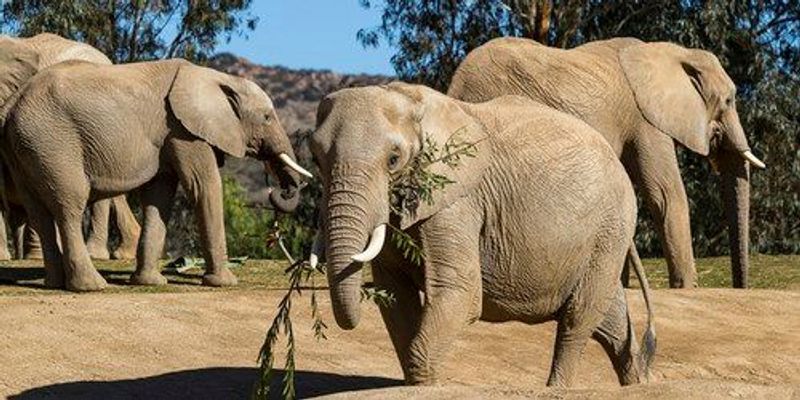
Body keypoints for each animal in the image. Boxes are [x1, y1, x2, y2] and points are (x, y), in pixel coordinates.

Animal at [309, 82, 655, 387]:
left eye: (394, 159)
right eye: (316, 159)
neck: (409, 98)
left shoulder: (458, 201)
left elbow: (459, 290)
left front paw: (425, 385)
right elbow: (394, 294)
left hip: (610, 226)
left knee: (578, 318)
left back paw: (558, 388)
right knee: (609, 320)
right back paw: (638, 382)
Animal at [447, 37, 766, 288]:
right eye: (728, 101)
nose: (740, 288)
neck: (676, 52)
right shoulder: (645, 119)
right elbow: (666, 194)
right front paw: (686, 288)